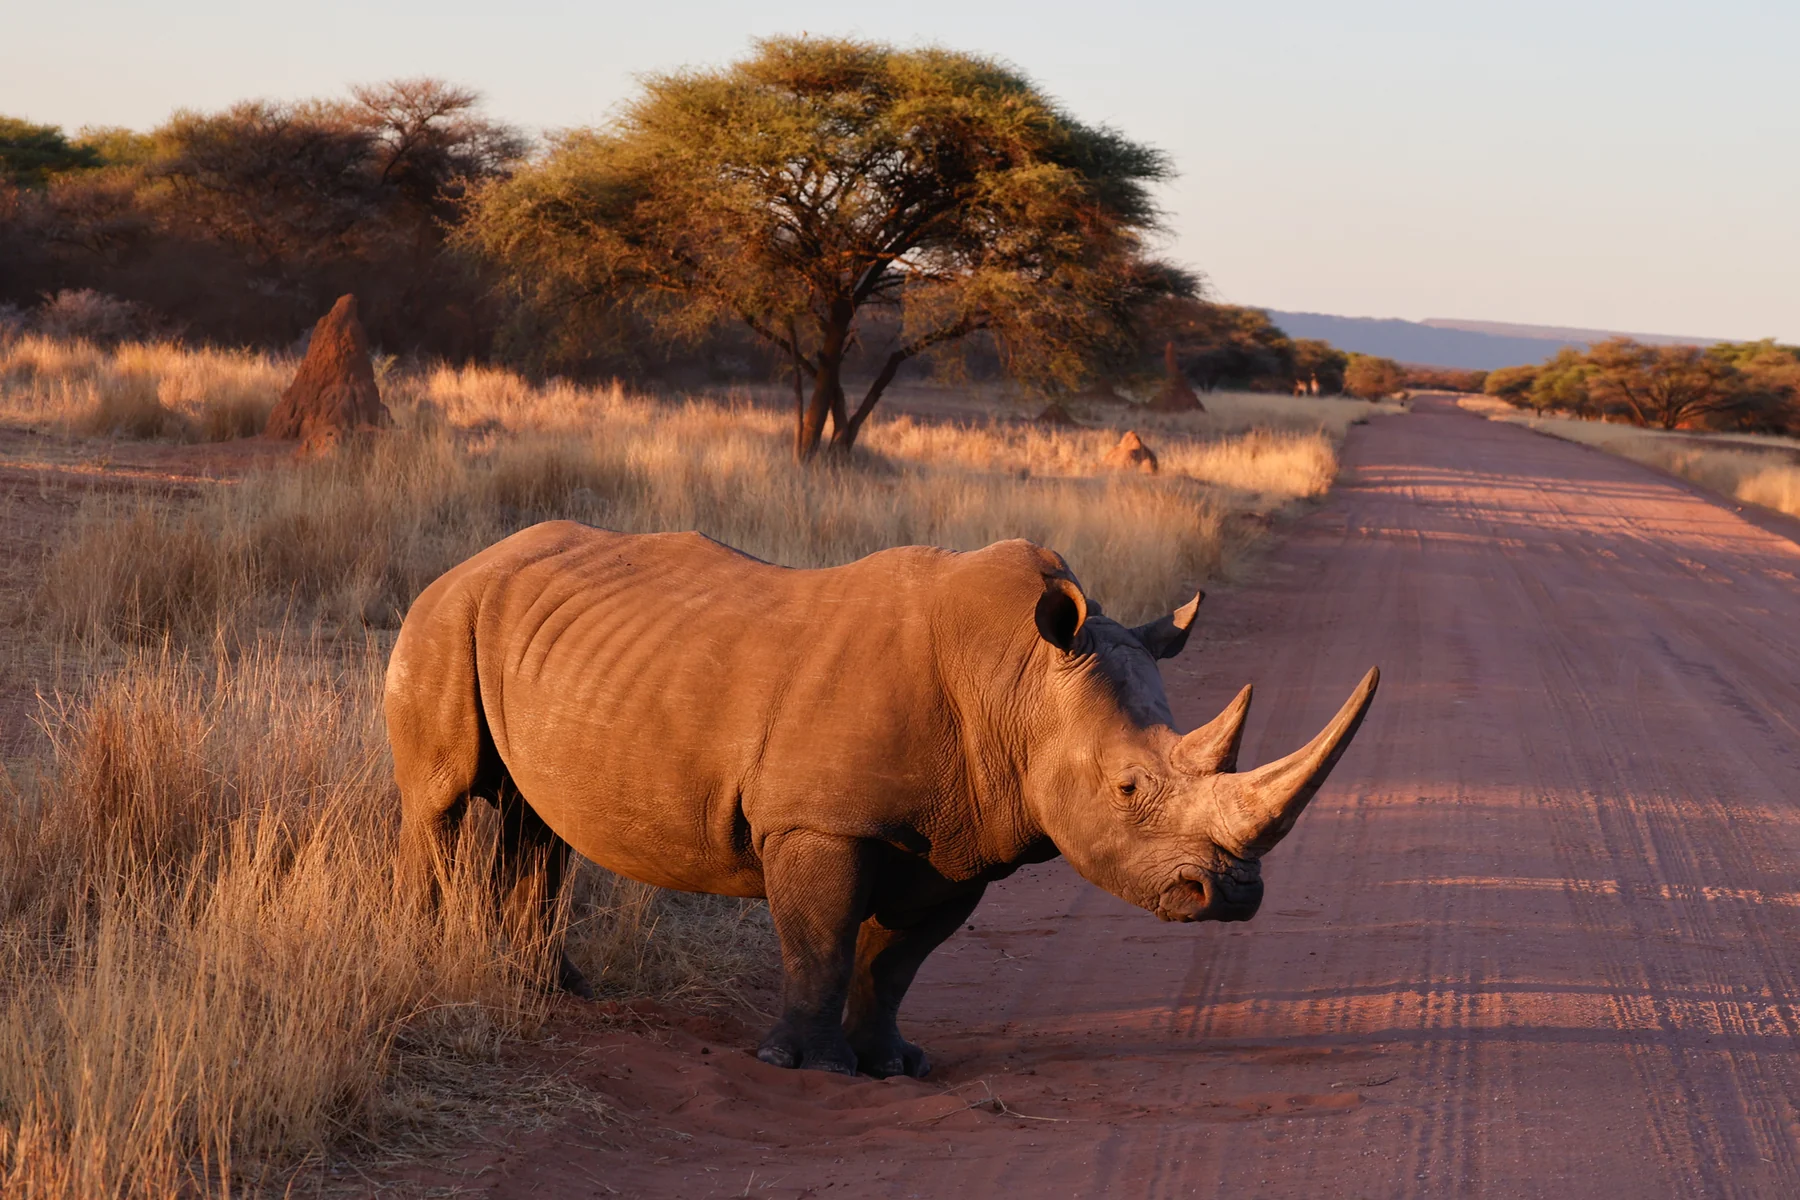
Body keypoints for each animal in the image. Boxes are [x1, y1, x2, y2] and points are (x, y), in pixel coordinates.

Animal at [386, 523, 1377, 1078]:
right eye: (1130, 787)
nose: (1233, 896)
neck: (1019, 679)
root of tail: (469, 560)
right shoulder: (818, 821)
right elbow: (822, 942)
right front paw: (805, 1066)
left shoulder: (965, 839)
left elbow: (895, 959)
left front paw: (894, 1066)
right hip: (443, 617)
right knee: (442, 795)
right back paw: (436, 963)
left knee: (534, 819)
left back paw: (551, 987)